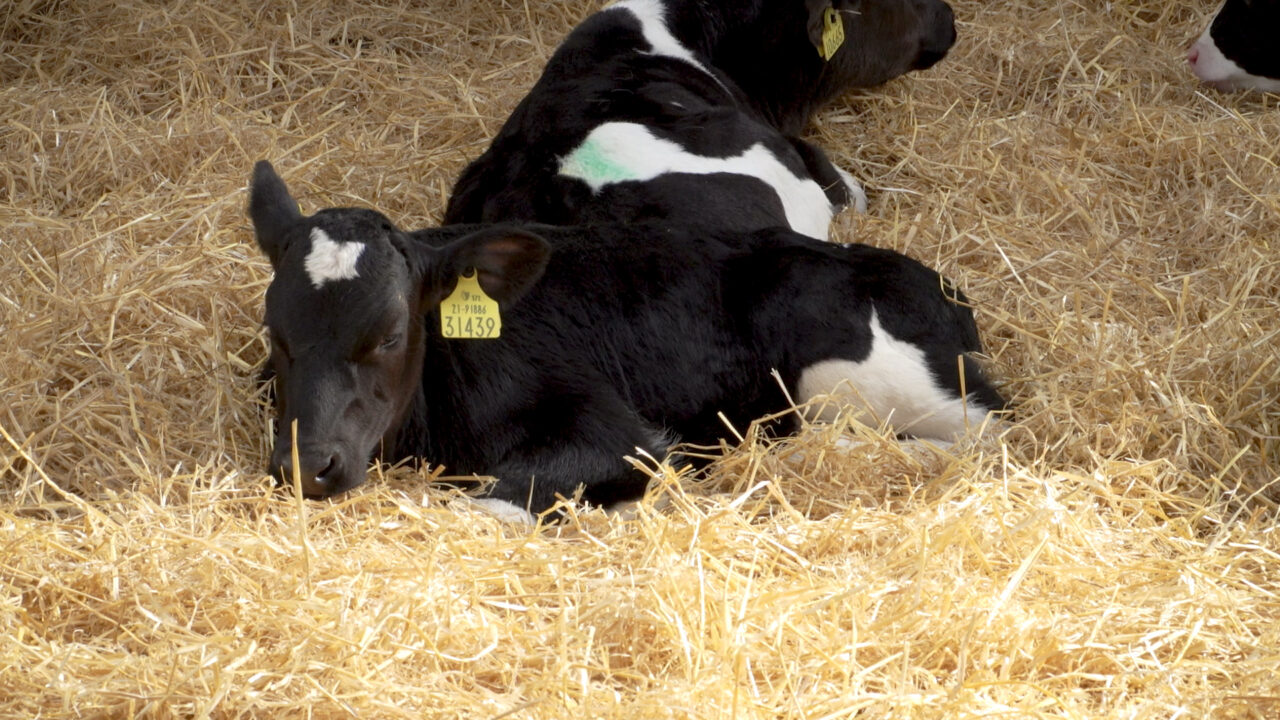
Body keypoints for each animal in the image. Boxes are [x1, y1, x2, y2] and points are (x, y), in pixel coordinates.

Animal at [249, 161, 1004, 517]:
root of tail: (936, 283)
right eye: (275, 331)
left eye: (390, 334)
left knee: (983, 436)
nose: (307, 465)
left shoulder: (620, 434)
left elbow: (490, 504)